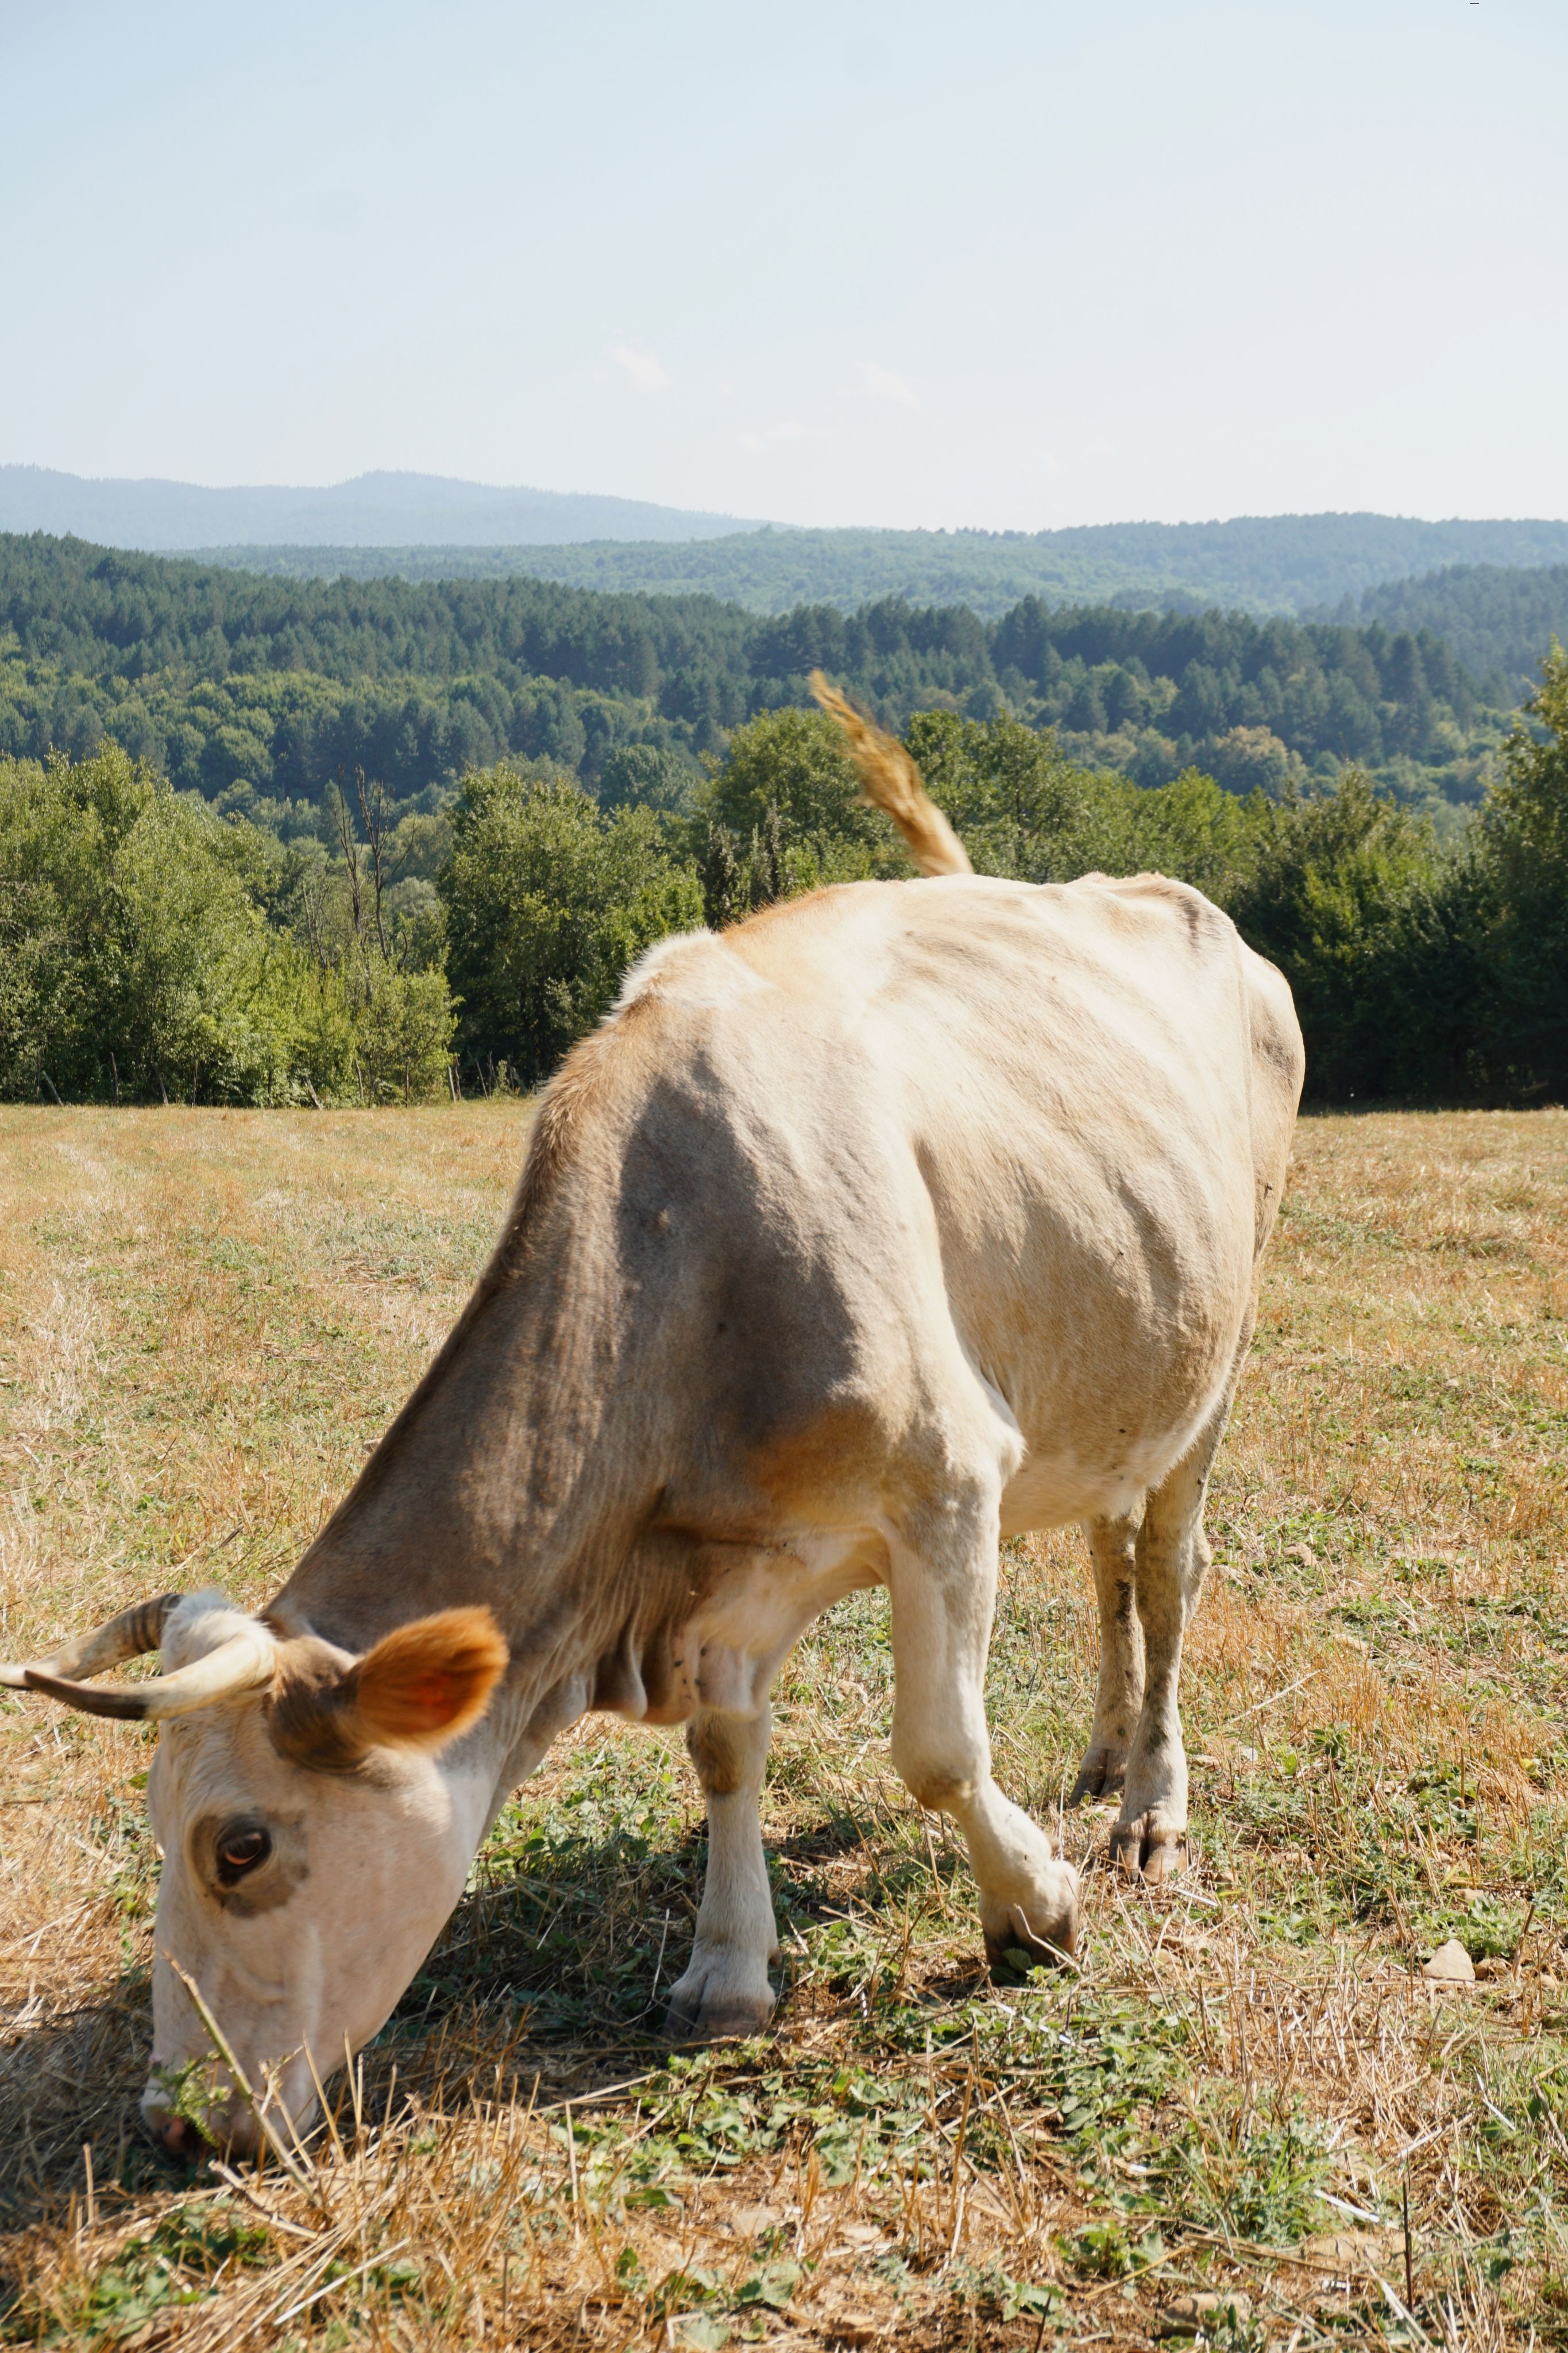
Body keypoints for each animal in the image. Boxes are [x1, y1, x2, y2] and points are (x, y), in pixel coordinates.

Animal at [1, 684, 1303, 2158]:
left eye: (241, 1846)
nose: (175, 2125)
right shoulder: (729, 1561)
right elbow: (726, 1750)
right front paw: (727, 1967)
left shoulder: (948, 1482)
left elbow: (937, 1749)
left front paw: (1033, 1909)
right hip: (1115, 1380)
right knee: (1106, 1557)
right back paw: (1097, 1753)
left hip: (1218, 1351)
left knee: (1170, 1571)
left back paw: (1149, 1804)